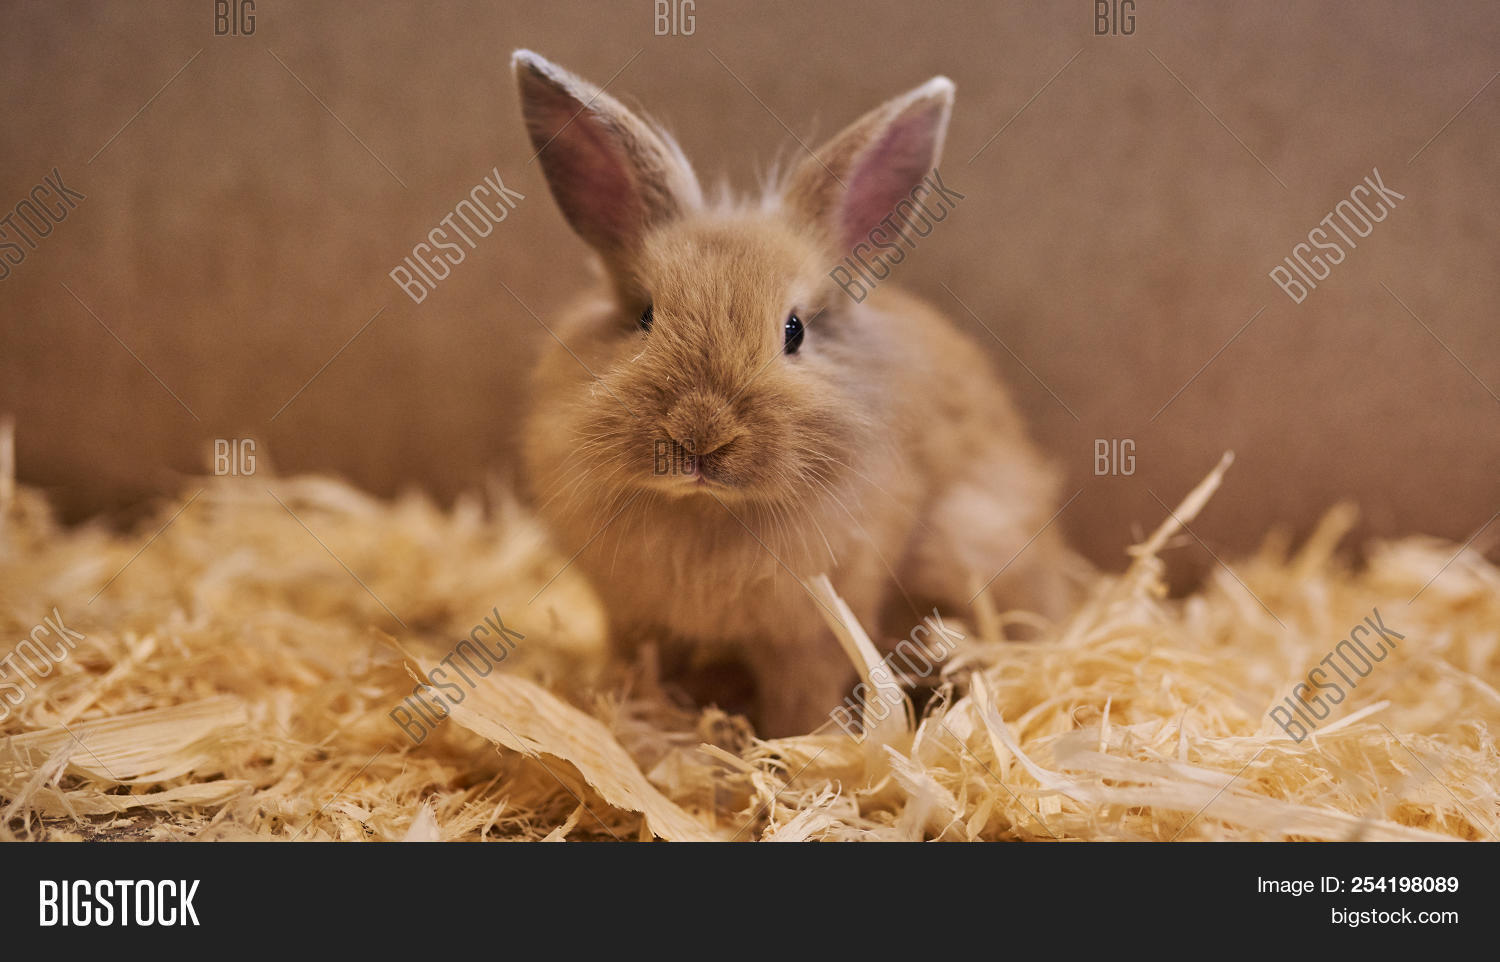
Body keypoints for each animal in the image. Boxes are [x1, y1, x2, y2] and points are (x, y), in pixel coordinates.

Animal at [512, 50, 1074, 737]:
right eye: (644, 316)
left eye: (794, 331)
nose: (701, 436)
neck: (708, 510)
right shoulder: (635, 620)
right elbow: (642, 671)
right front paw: (639, 720)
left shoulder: (807, 635)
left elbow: (800, 698)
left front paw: (797, 745)